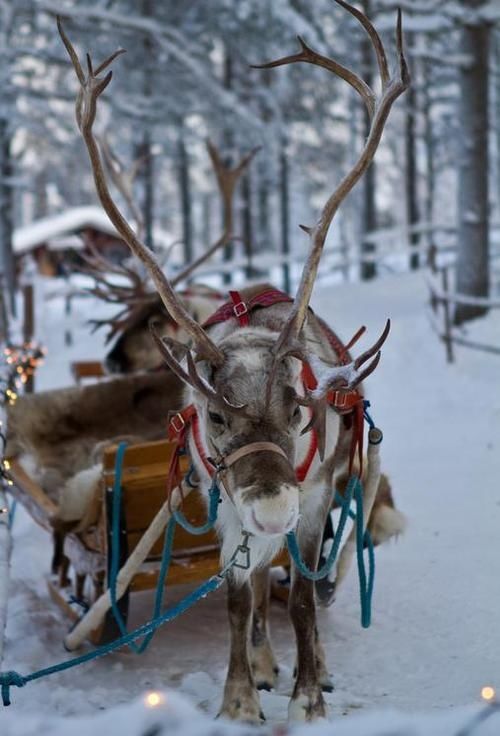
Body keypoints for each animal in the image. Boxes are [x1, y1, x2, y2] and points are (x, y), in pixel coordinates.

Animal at [58, 0, 408, 722]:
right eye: (214, 418)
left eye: (300, 413)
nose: (271, 509)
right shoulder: (220, 499)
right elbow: (237, 599)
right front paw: (240, 699)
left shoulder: (312, 497)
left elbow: (300, 595)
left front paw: (307, 698)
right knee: (260, 581)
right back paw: (266, 660)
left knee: (304, 579)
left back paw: (311, 664)